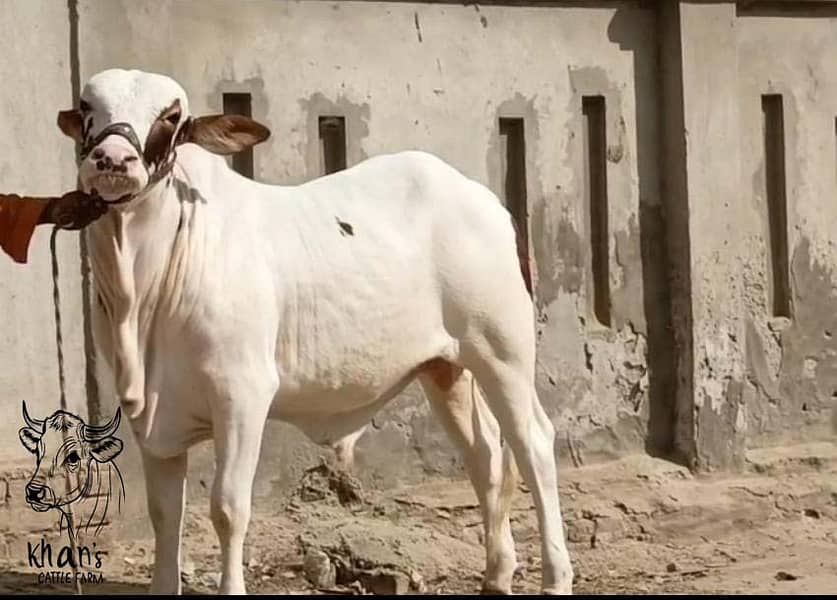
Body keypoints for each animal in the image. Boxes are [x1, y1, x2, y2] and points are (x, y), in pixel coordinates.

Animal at [54, 68, 574, 595]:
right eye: (87, 105)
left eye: (171, 115)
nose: (112, 159)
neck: (145, 291)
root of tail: (485, 199)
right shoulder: (153, 416)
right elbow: (165, 515)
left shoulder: (242, 395)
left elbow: (228, 508)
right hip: (445, 368)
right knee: (485, 454)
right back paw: (497, 572)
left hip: (501, 352)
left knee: (533, 444)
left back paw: (556, 576)